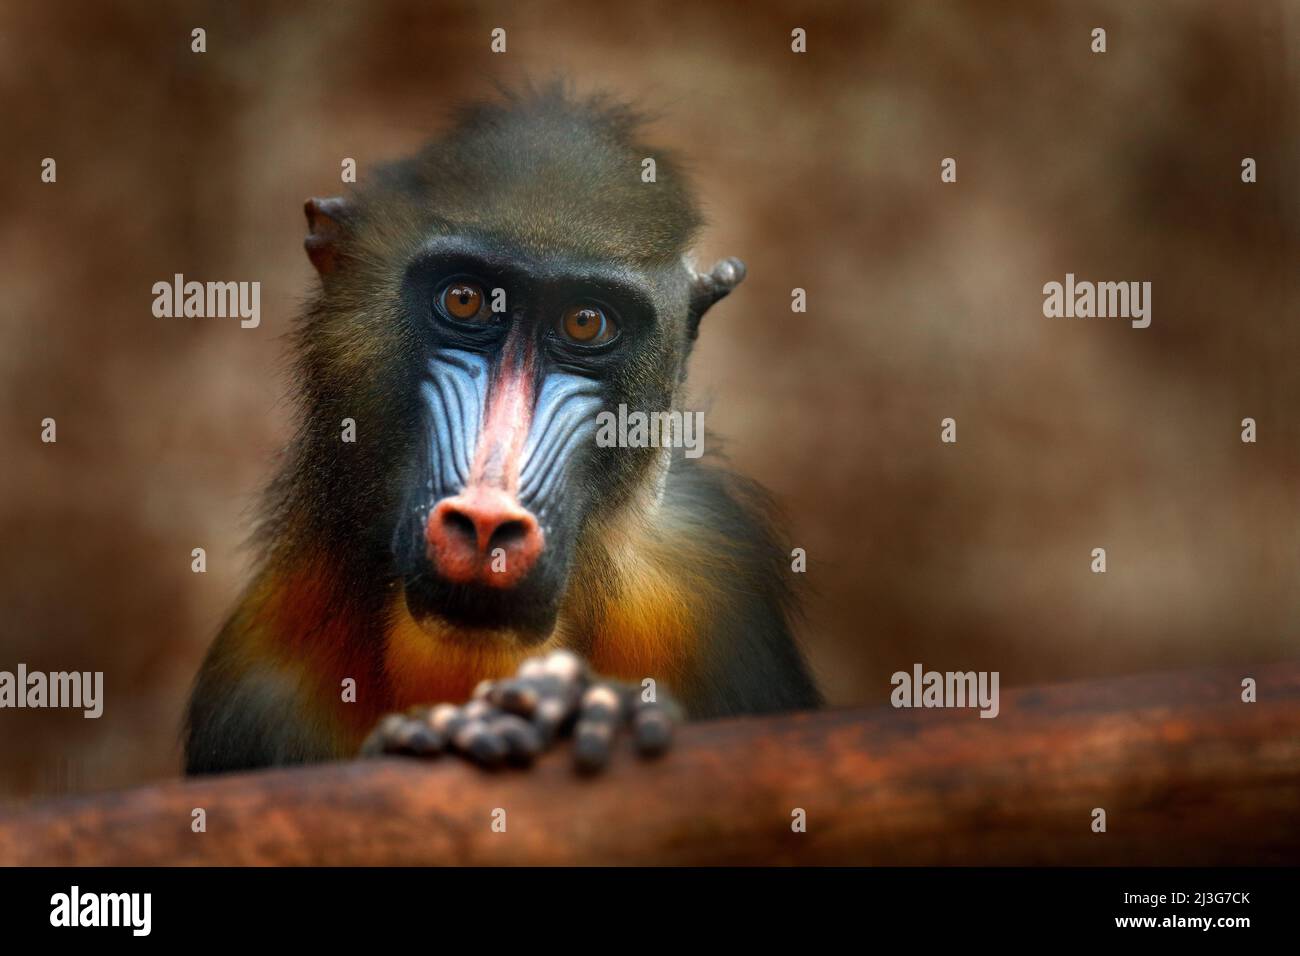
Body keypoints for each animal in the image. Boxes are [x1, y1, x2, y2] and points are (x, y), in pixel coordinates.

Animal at [184, 85, 822, 776]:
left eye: (585, 322)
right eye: (464, 300)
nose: (487, 523)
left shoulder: (712, 585)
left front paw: (584, 705)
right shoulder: (256, 691)